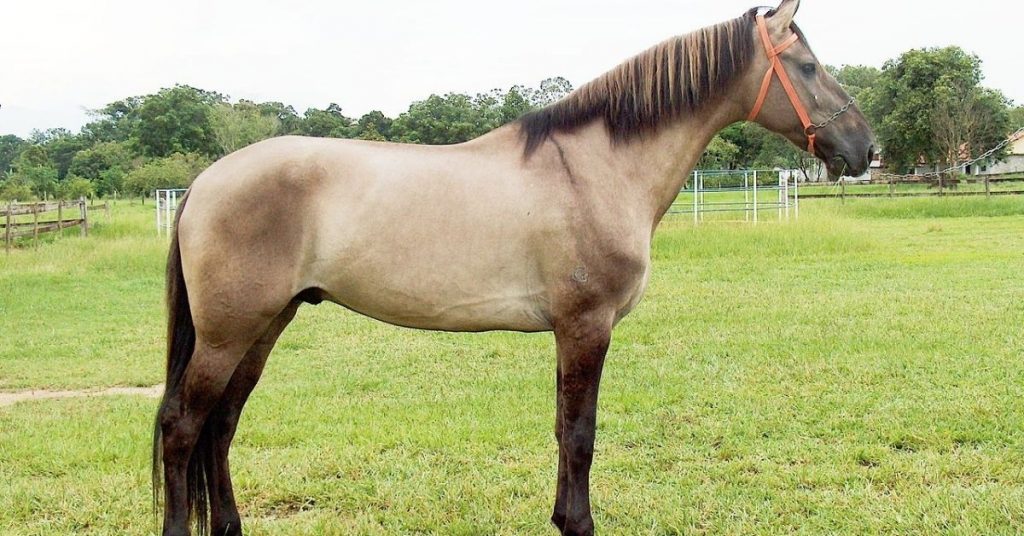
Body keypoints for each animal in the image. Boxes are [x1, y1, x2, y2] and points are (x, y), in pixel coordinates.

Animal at [153, 1, 875, 534]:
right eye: (807, 66)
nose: (864, 148)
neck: (597, 167)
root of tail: (205, 182)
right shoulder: (587, 326)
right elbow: (580, 434)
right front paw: (580, 524)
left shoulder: (568, 331)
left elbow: (561, 428)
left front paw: (560, 516)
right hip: (228, 332)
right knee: (183, 426)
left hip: (263, 325)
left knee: (221, 423)